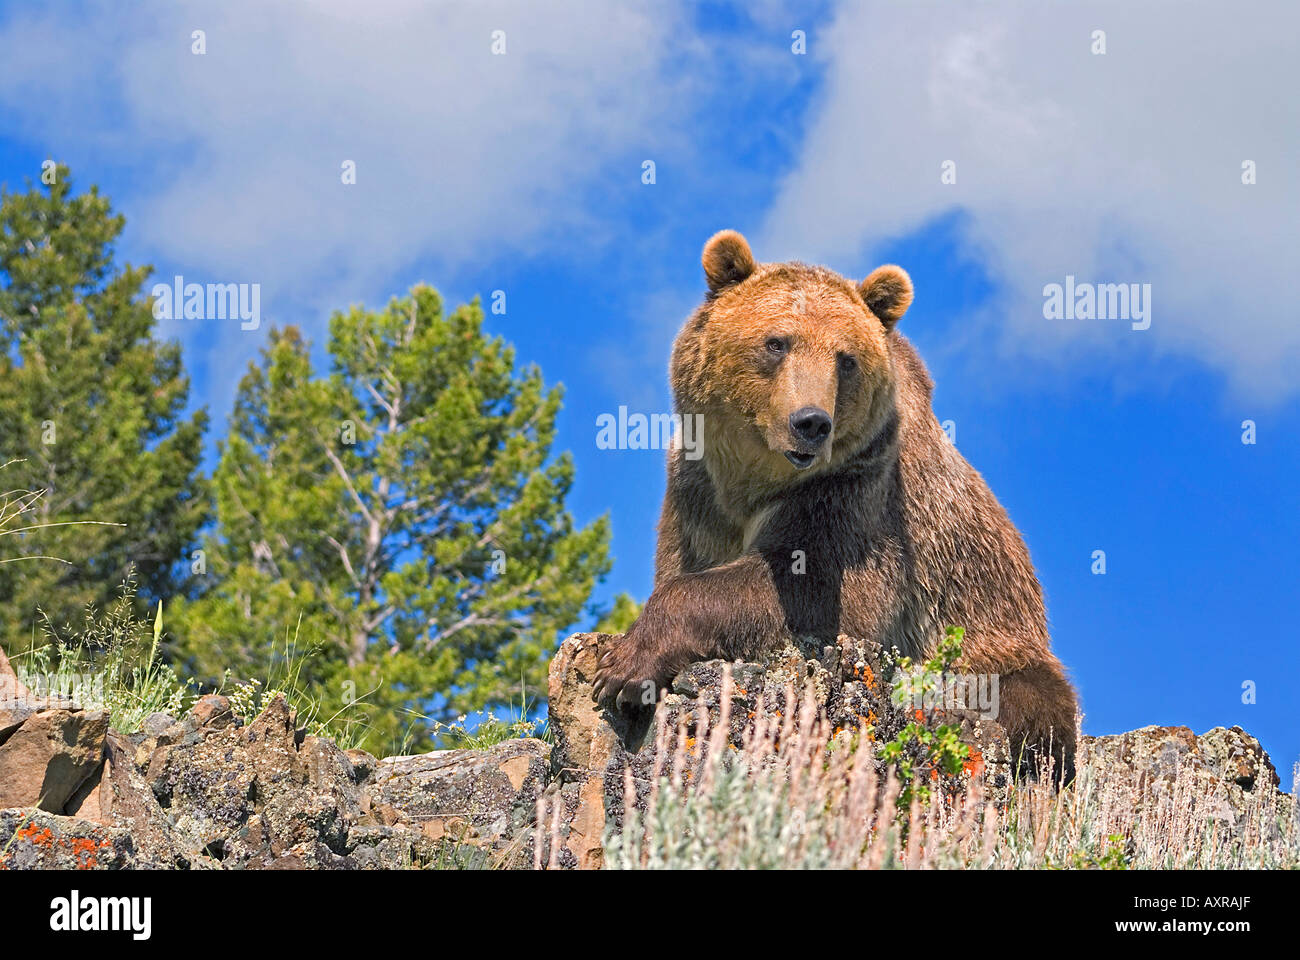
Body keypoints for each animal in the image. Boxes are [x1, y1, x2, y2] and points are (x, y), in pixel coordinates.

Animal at [592, 229, 1078, 779]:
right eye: (776, 342)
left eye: (846, 359)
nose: (811, 422)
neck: (751, 480)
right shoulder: (696, 494)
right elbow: (683, 561)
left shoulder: (856, 491)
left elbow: (821, 585)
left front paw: (625, 664)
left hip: (1000, 639)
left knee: (1021, 698)